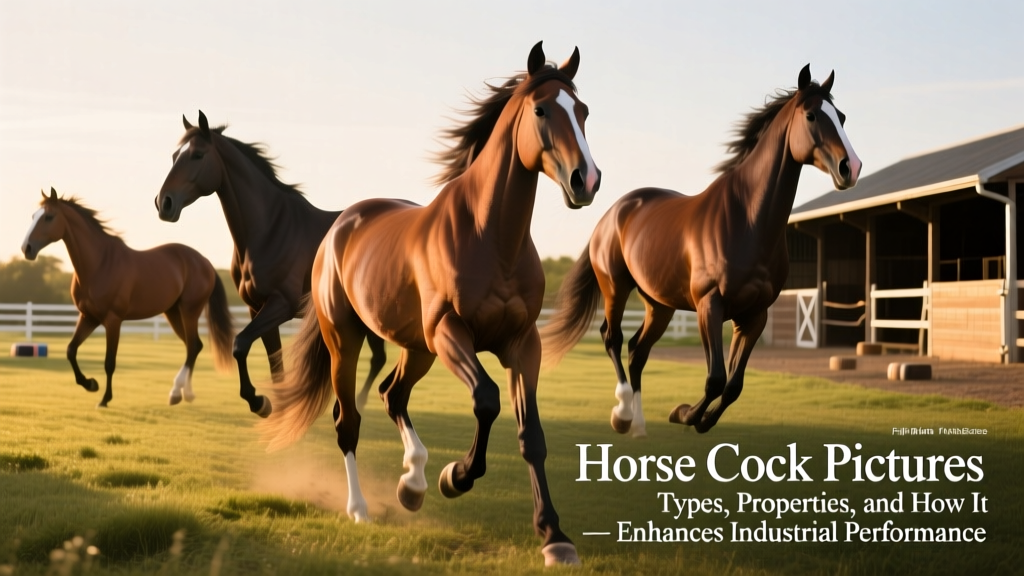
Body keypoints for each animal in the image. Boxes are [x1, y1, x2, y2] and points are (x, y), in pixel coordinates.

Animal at [20, 188, 234, 409]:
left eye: (49, 217)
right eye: (34, 216)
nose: (26, 248)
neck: (100, 264)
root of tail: (205, 262)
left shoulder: (113, 320)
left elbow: (109, 363)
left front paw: (104, 399)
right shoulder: (88, 317)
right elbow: (71, 350)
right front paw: (90, 384)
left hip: (189, 311)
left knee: (192, 347)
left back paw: (177, 393)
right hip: (173, 313)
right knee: (193, 346)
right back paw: (186, 393)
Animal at [155, 112, 386, 418]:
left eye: (197, 155)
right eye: (174, 156)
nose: (164, 203)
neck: (270, 230)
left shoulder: (281, 305)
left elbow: (240, 344)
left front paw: (259, 402)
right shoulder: (258, 308)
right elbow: (274, 363)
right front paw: (277, 406)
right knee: (379, 358)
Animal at [261, 42, 600, 566]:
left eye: (582, 111)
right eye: (542, 110)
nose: (587, 180)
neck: (491, 239)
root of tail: (340, 227)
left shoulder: (523, 345)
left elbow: (532, 436)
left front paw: (554, 537)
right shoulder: (450, 333)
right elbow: (487, 400)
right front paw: (455, 477)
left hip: (416, 348)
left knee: (391, 394)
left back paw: (411, 485)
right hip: (349, 342)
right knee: (348, 420)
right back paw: (361, 507)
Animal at [541, 65, 860, 438]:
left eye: (841, 116)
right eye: (811, 115)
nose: (850, 167)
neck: (747, 220)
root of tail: (611, 215)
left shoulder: (755, 315)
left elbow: (733, 385)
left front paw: (702, 420)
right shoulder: (710, 305)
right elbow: (715, 379)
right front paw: (684, 414)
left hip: (659, 304)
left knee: (637, 350)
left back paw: (639, 426)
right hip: (616, 288)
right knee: (613, 339)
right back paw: (622, 416)